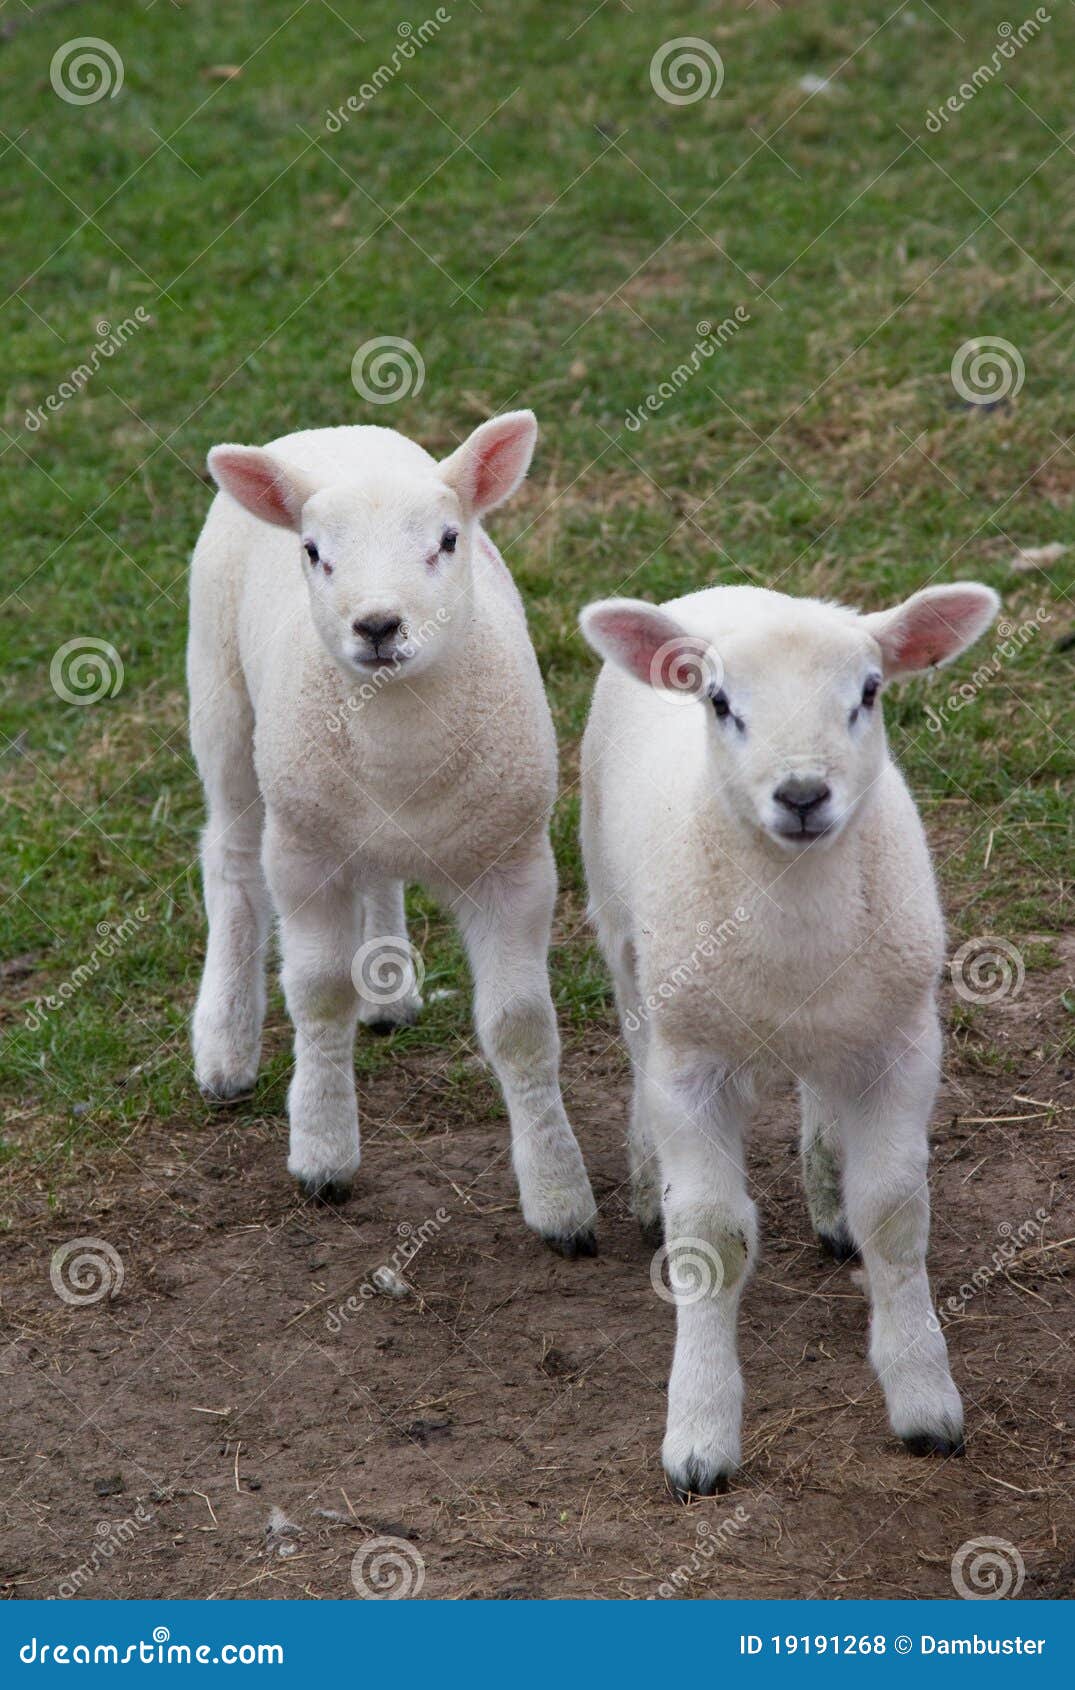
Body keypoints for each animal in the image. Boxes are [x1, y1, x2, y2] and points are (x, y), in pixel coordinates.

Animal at [187, 410, 597, 1256]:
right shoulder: (302, 856)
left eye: (447, 539)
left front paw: (559, 1197)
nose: (377, 625)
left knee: (375, 871)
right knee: (232, 863)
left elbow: (520, 1028)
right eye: (314, 552)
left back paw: (386, 990)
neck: (398, 737)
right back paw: (225, 1045)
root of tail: (328, 424)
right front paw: (321, 1154)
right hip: (220, 693)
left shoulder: (516, 868)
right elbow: (315, 994)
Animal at [578, 579, 1000, 1498]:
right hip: (621, 934)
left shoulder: (902, 1047)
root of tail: (730, 587)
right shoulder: (690, 1068)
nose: (802, 795)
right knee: (634, 1046)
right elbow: (710, 1234)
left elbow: (893, 1214)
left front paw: (924, 1400)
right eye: (719, 701)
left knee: (820, 1091)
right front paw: (699, 1432)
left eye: (869, 692)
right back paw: (644, 1182)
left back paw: (825, 1193)